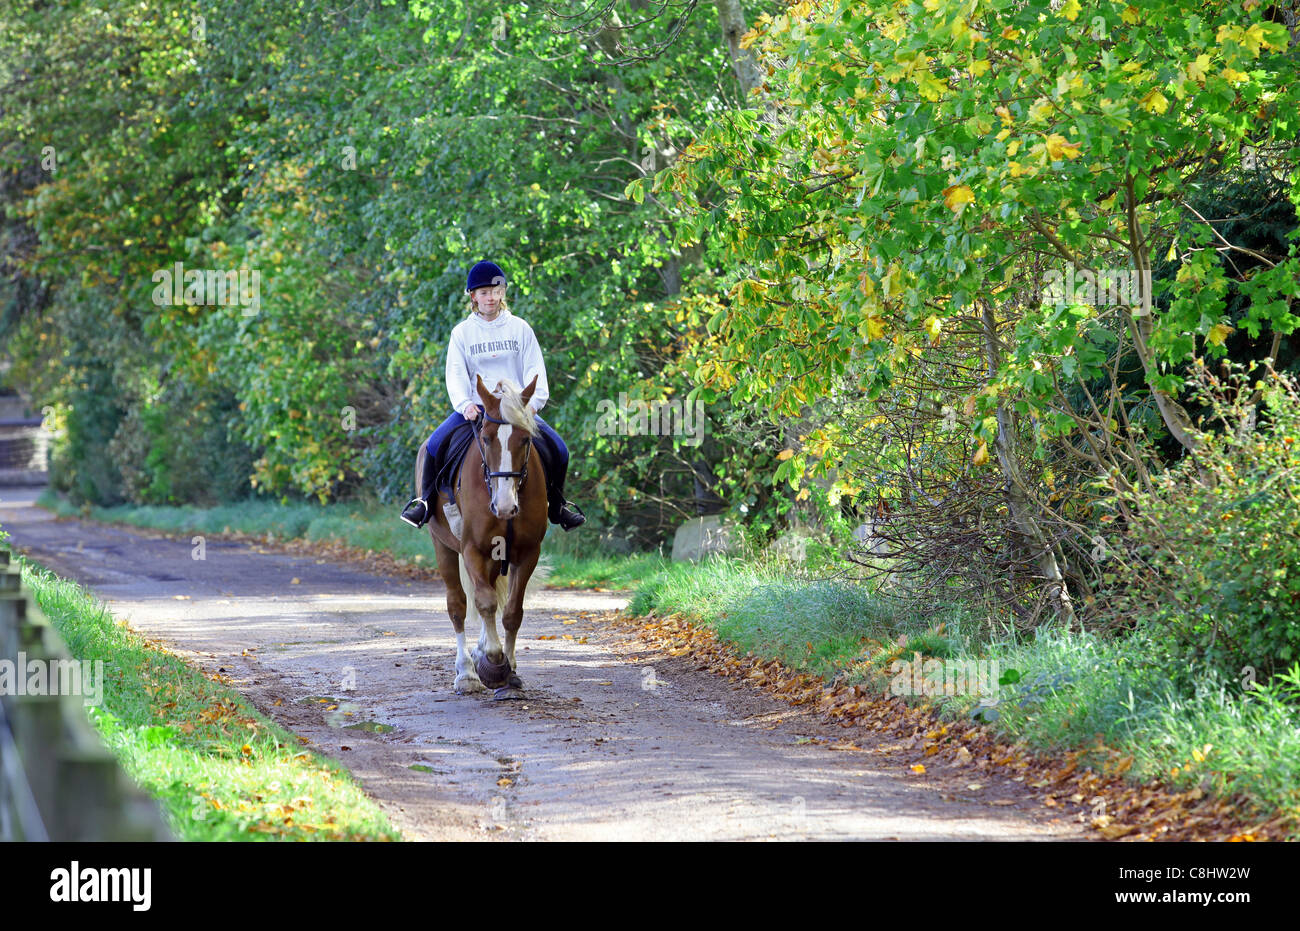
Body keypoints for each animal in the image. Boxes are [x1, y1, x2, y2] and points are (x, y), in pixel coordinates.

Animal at [418, 373, 549, 700]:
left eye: (525, 439)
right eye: (487, 438)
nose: (504, 506)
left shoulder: (527, 553)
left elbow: (512, 611)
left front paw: (509, 672)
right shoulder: (473, 550)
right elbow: (485, 603)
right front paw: (492, 661)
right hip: (444, 547)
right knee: (458, 605)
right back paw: (466, 673)